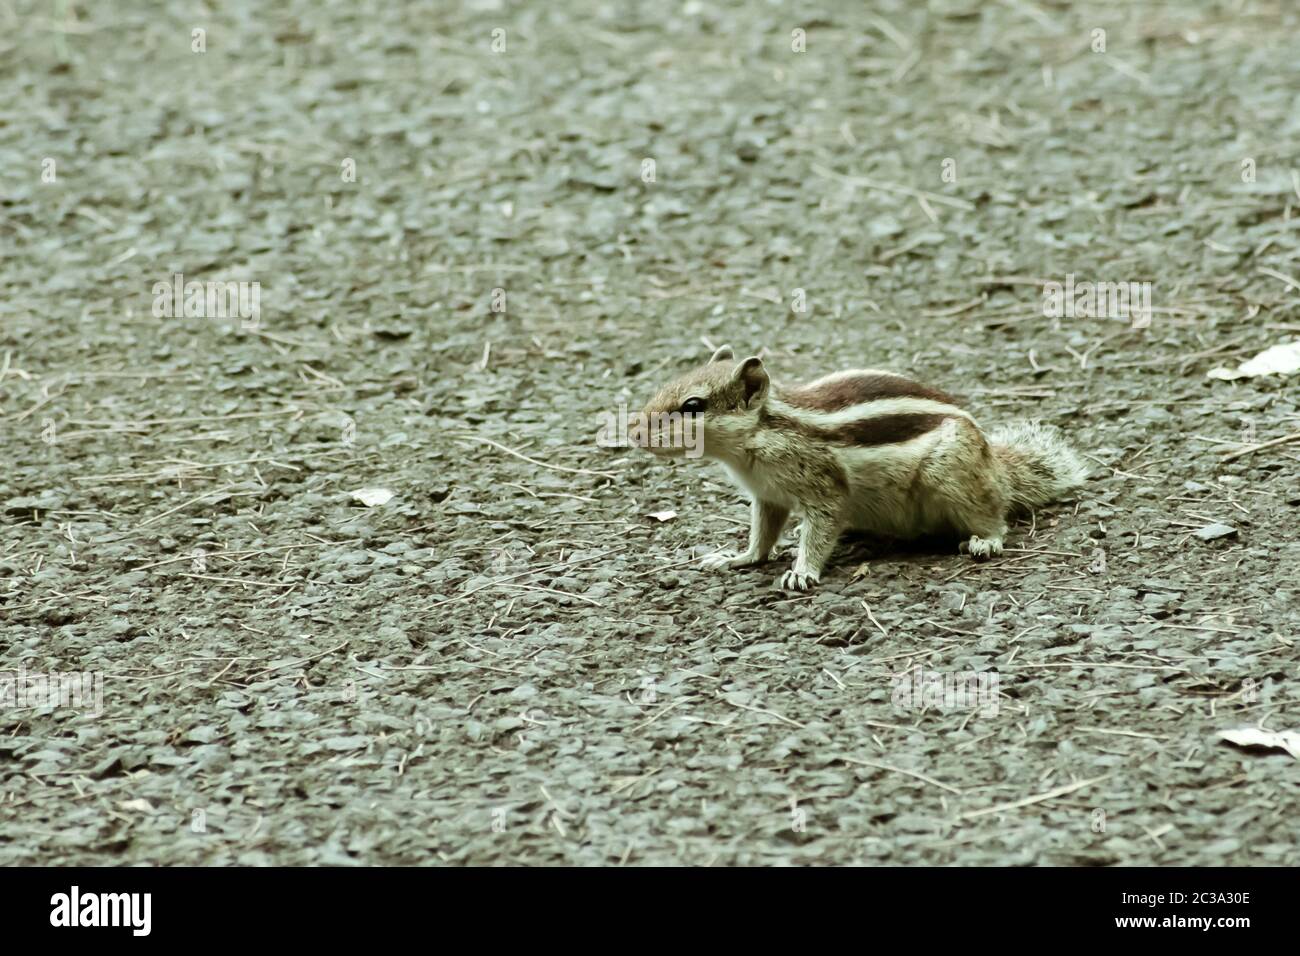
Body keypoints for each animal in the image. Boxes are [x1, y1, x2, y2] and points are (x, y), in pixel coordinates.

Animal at [628, 345, 1087, 591]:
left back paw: (985, 541)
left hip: (952, 472)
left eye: (693, 406)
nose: (633, 432)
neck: (754, 440)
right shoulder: (768, 496)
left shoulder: (822, 485)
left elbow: (820, 526)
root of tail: (994, 462)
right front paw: (739, 557)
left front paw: (802, 572)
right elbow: (762, 533)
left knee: (993, 514)